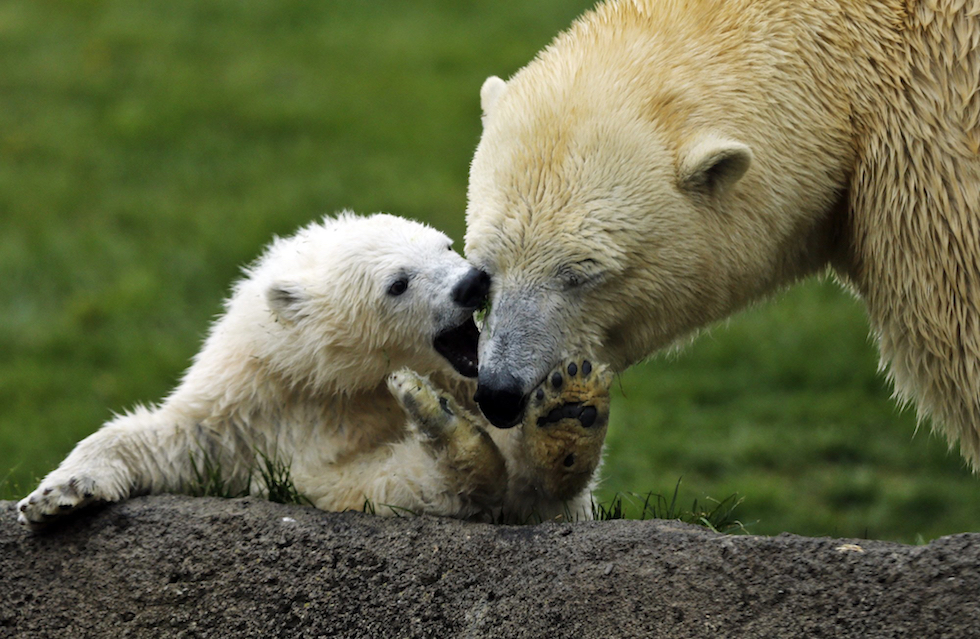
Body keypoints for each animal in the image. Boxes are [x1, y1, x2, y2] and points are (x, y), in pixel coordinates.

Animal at [17, 213, 612, 529]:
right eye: (398, 283)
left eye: (446, 245)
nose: (473, 282)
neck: (346, 384)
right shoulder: (255, 397)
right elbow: (179, 438)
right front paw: (54, 497)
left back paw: (567, 413)